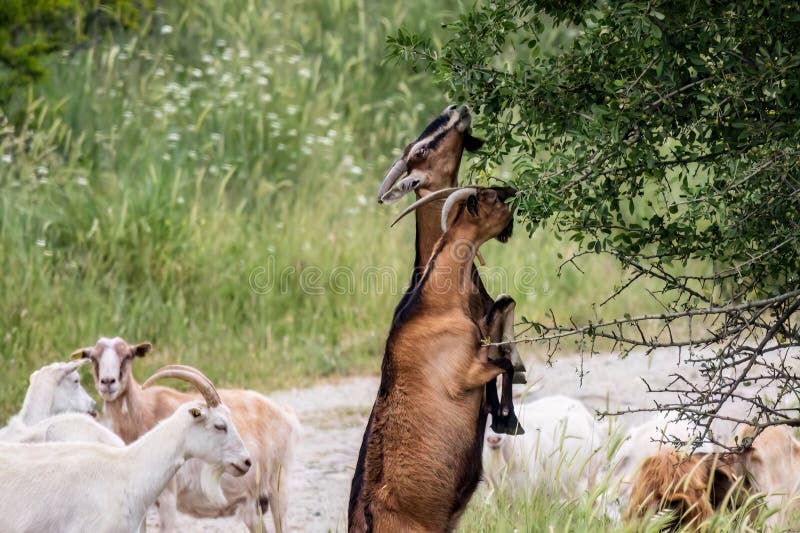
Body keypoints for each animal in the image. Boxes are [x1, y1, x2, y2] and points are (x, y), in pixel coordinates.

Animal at [72, 337, 301, 533]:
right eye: (93, 357)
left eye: (127, 355)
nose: (107, 382)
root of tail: (286, 415)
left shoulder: (168, 498)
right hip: (254, 506)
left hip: (278, 488)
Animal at [350, 186, 517, 532]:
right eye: (491, 197)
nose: (514, 191)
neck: (435, 304)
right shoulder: (466, 369)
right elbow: (504, 363)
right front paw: (506, 417)